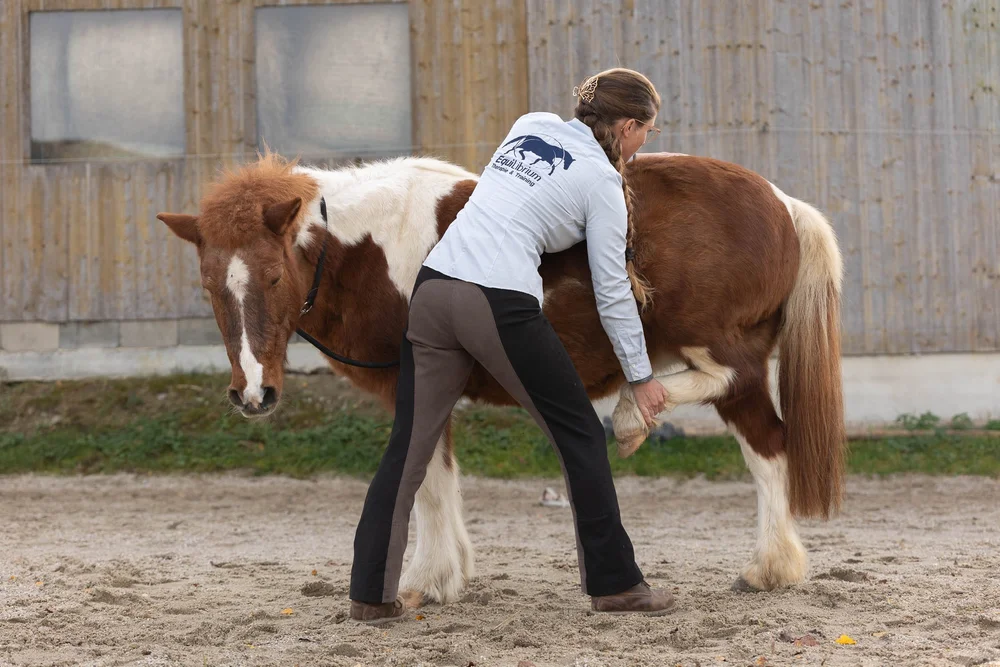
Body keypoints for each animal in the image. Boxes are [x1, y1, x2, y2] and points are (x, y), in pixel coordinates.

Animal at [156, 148, 845, 604]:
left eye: (274, 276)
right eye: (209, 286)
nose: (253, 394)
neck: (375, 250)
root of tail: (782, 203)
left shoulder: (410, 383)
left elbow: (427, 480)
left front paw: (422, 584)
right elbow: (438, 477)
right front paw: (446, 576)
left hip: (725, 349)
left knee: (745, 409)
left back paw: (640, 426)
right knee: (765, 447)